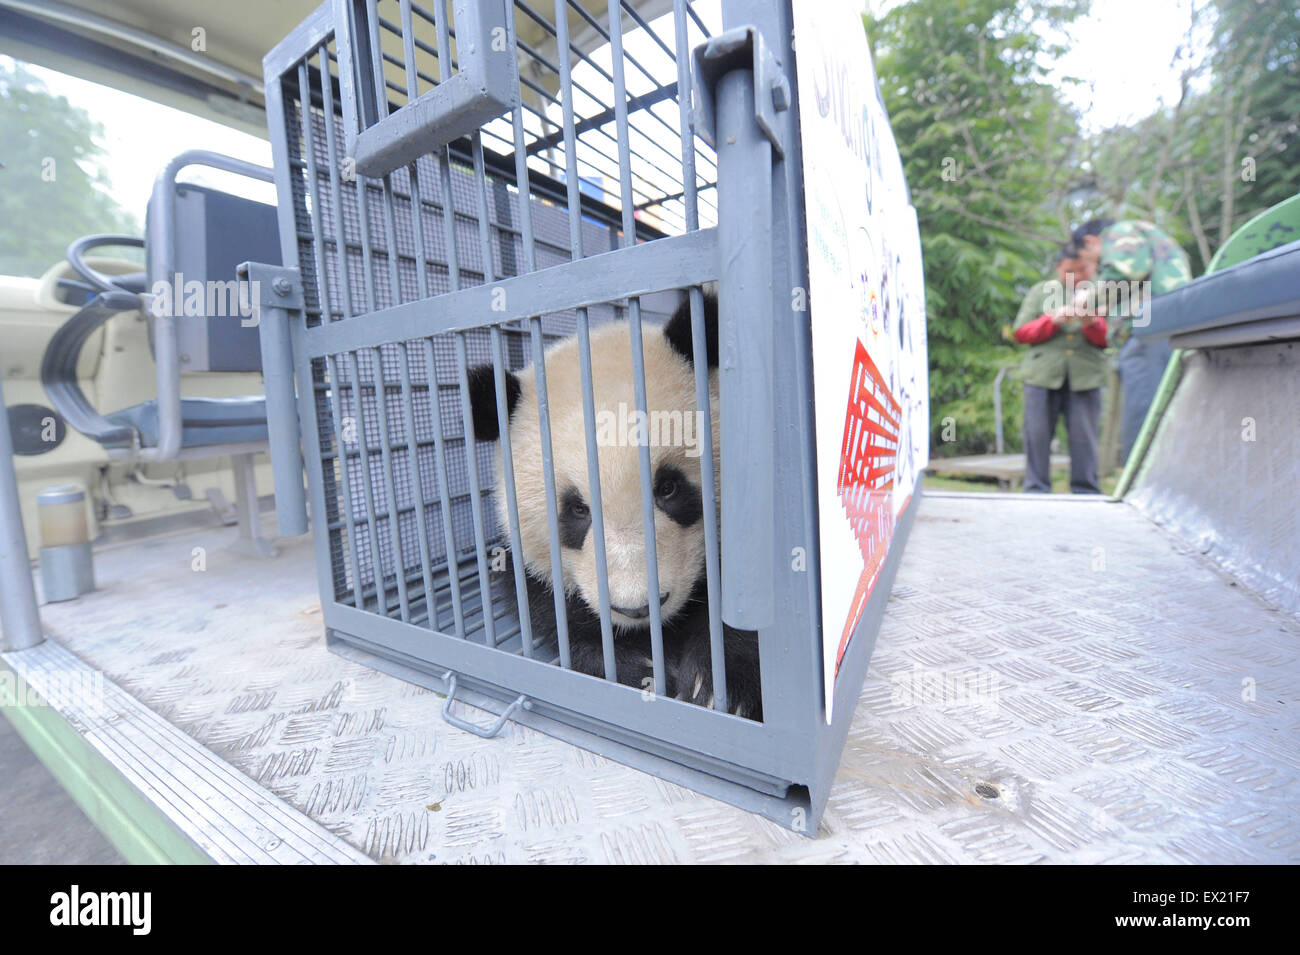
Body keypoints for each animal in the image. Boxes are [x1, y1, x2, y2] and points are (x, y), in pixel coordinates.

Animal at [465, 292, 762, 721]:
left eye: (669, 487)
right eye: (576, 510)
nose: (638, 608)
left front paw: (715, 686)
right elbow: (548, 606)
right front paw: (639, 672)